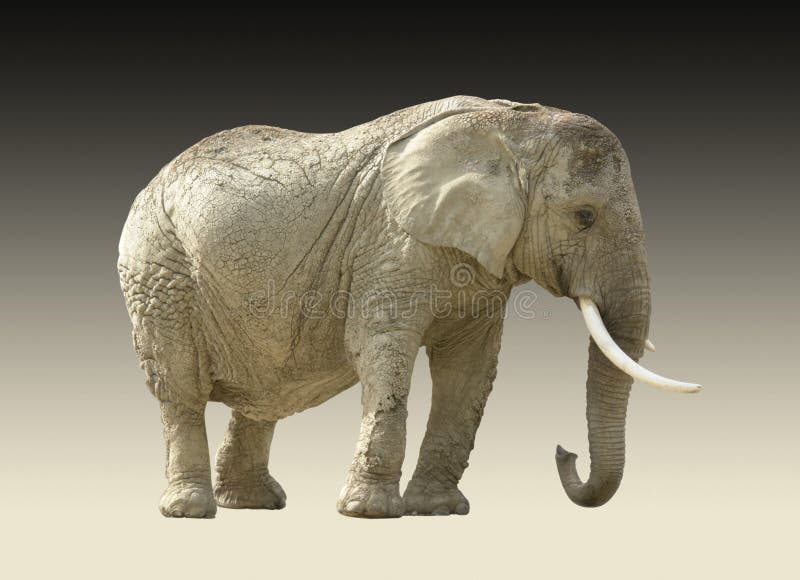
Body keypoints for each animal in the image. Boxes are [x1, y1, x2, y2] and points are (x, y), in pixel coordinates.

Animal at [118, 95, 699, 519]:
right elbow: (382, 351)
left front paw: (438, 511)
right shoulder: (390, 241)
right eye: (584, 216)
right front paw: (370, 513)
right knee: (180, 388)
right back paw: (191, 511)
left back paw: (256, 505)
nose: (564, 453)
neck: (514, 129)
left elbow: (469, 372)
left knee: (263, 394)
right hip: (158, 267)